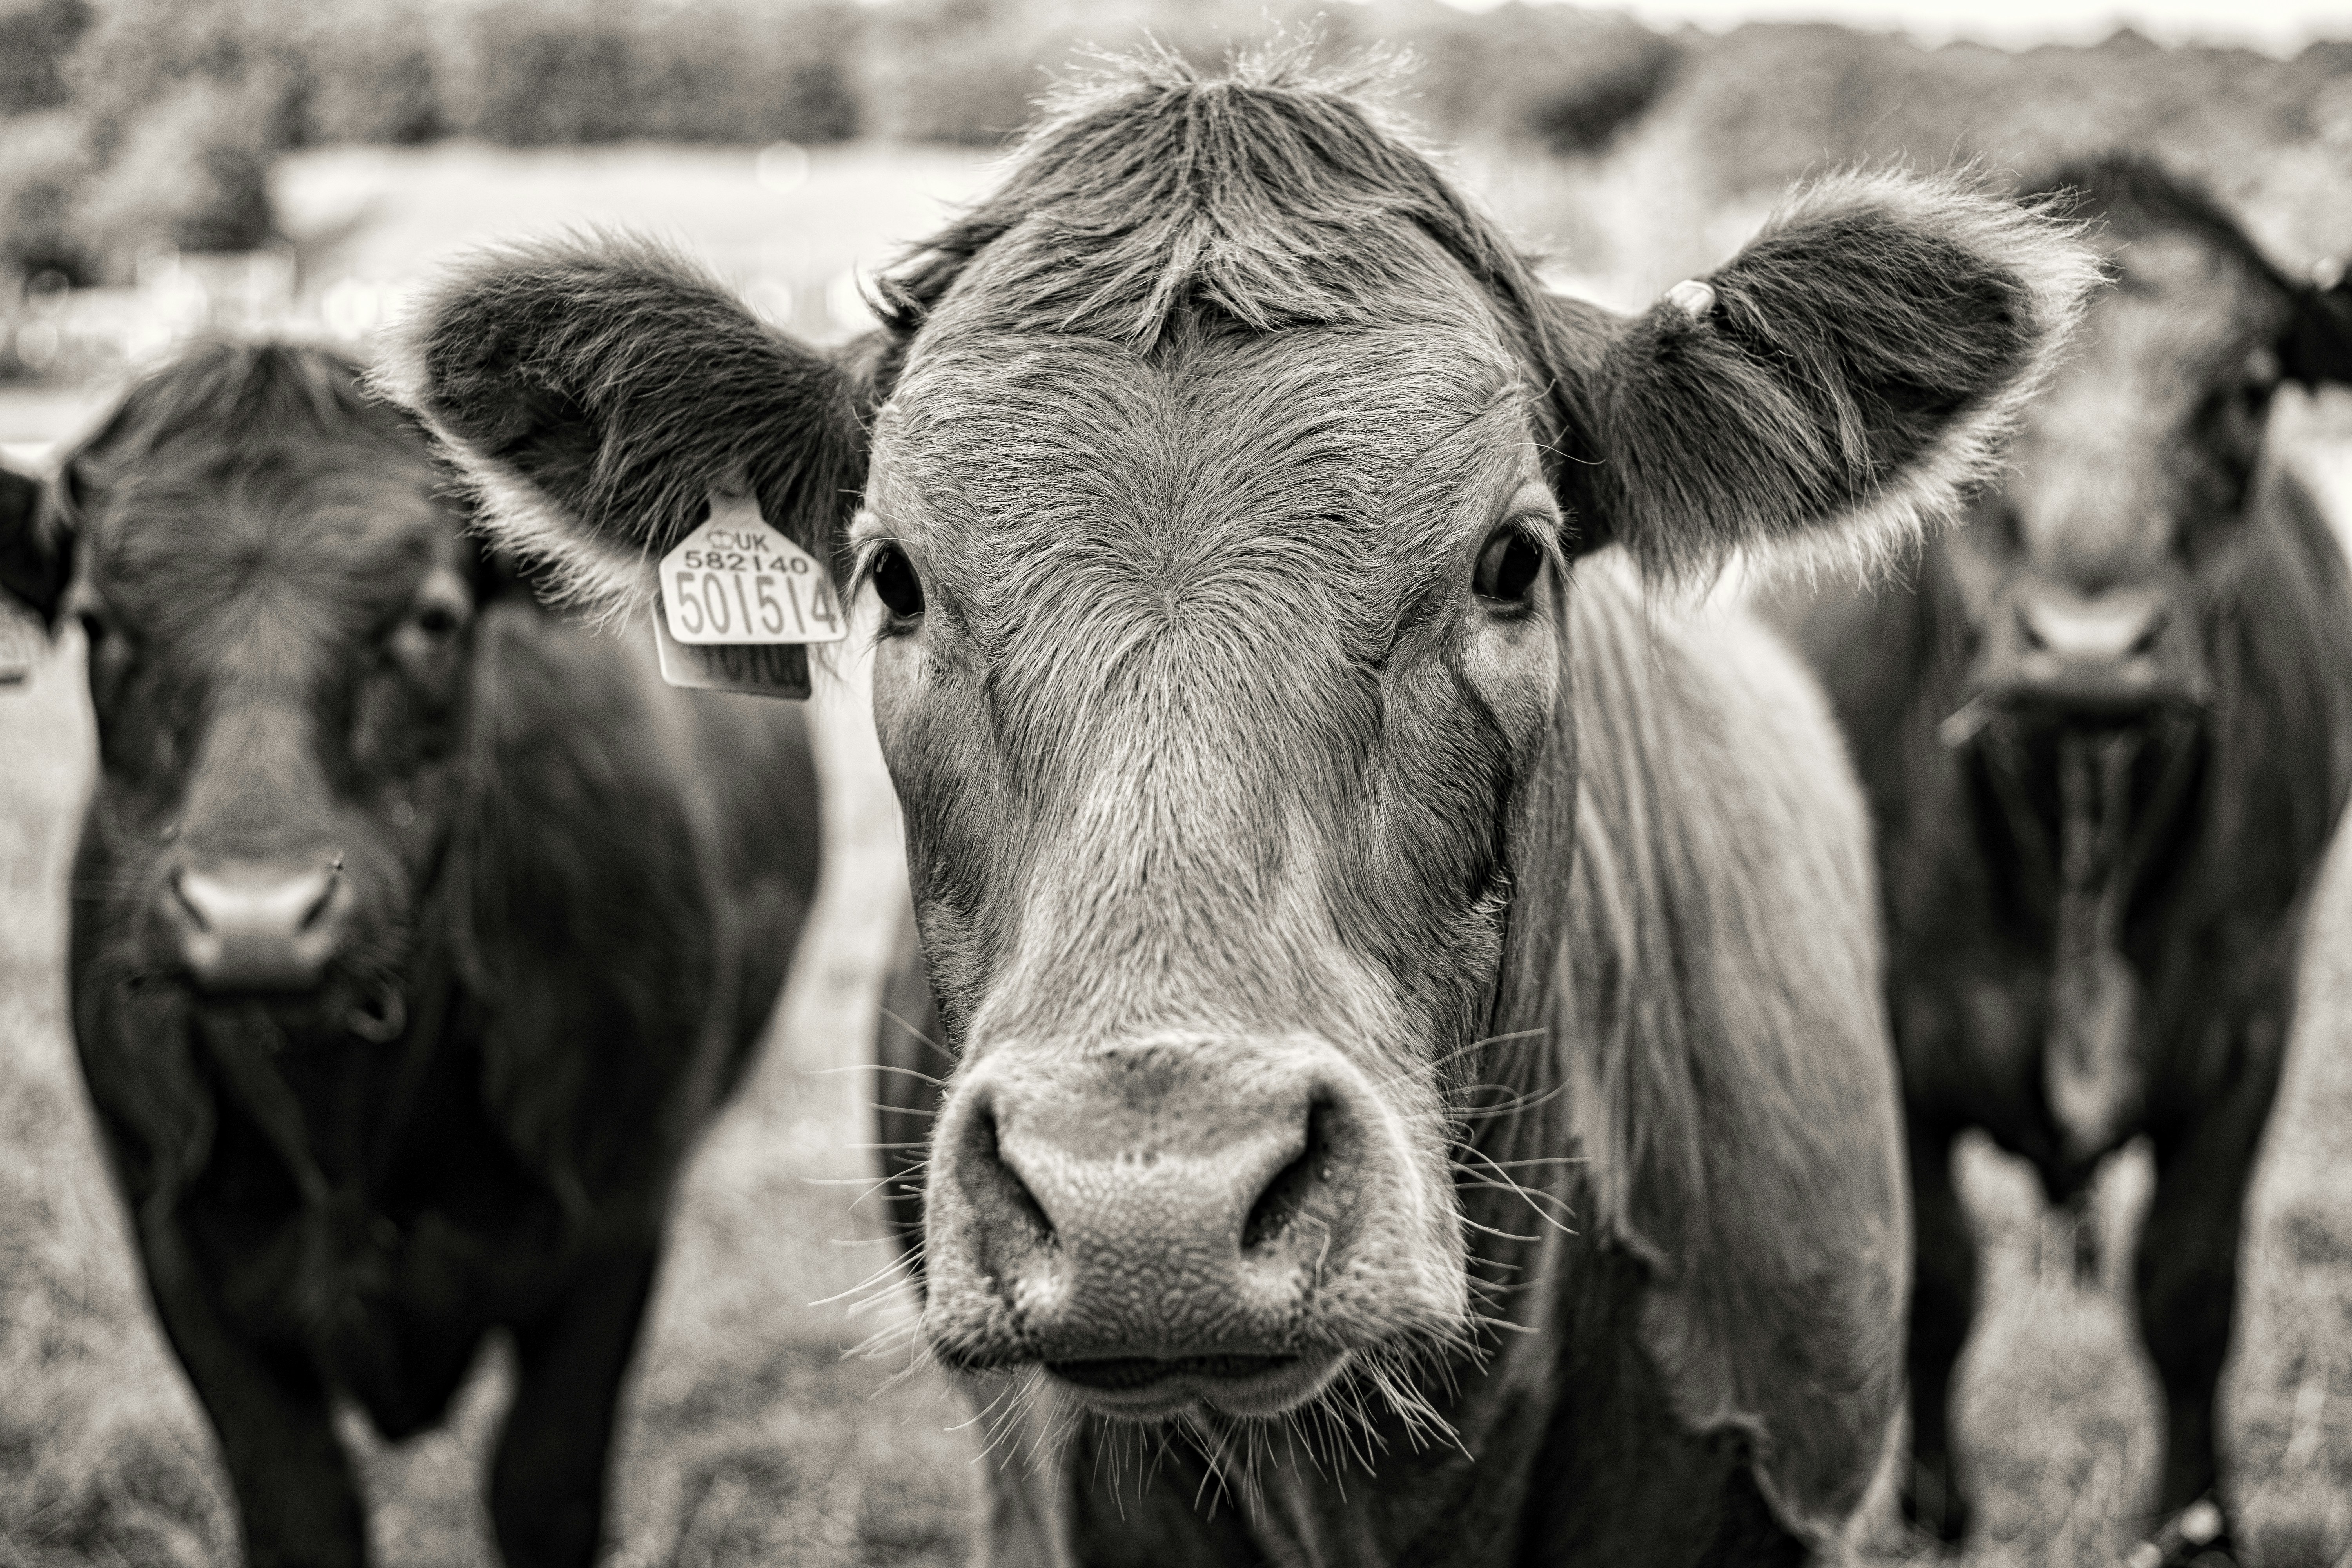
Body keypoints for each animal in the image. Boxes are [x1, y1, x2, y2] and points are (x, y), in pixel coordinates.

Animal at [0, 340, 823, 1568]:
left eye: (435, 620)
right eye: (99, 623)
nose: (256, 915)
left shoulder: (617, 1230)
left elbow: (541, 1492)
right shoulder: (180, 1256)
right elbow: (303, 1513)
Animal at [1766, 155, 2352, 1564]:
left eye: (2251, 386)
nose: (2089, 651)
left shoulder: (2252, 1021)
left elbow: (2189, 1287)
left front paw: (2196, 1522)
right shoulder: (1898, 1026)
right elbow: (1940, 1282)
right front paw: (1934, 1511)